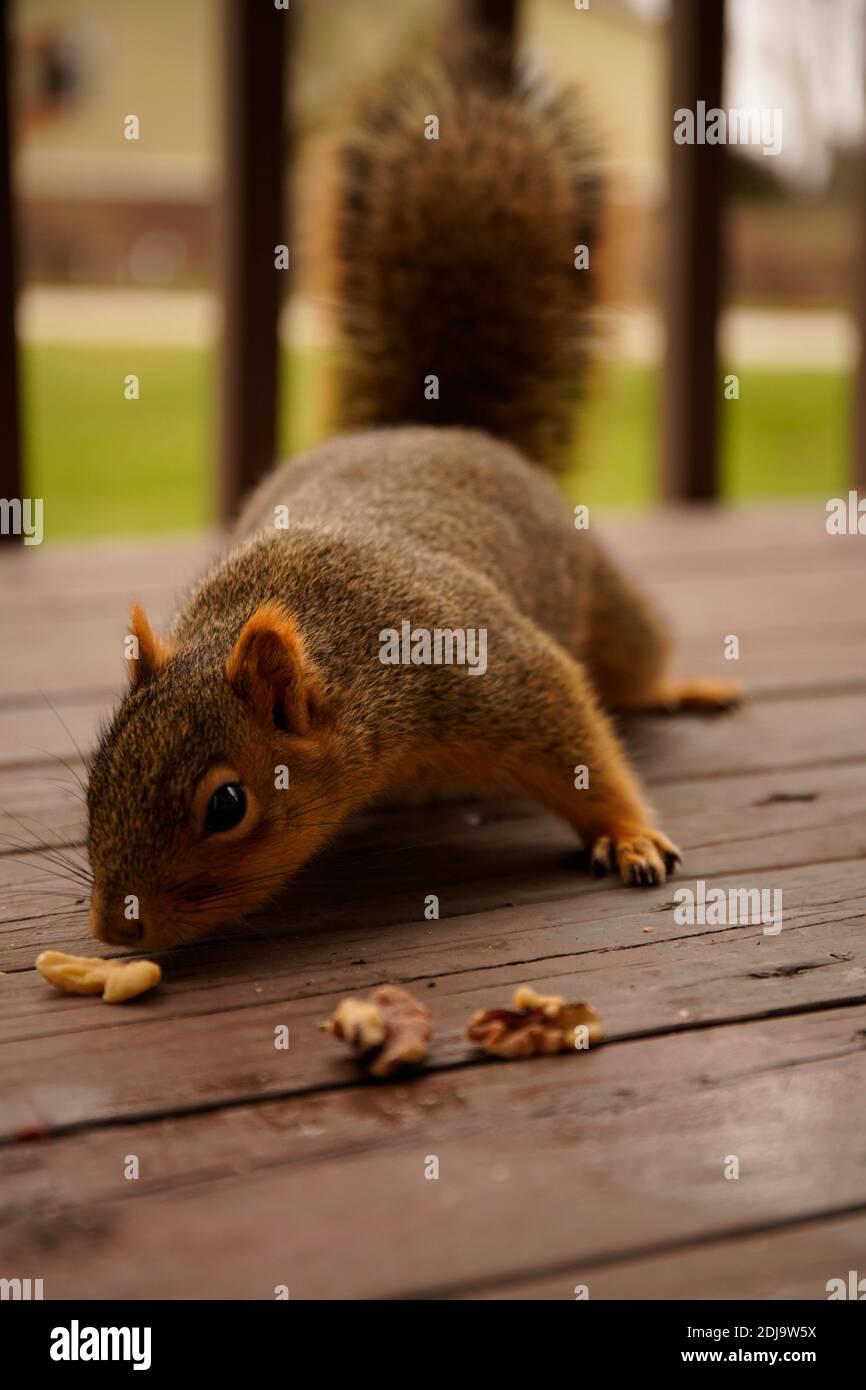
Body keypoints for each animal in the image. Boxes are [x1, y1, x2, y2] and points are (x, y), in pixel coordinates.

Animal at [87, 47, 740, 950]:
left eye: (227, 804)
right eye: (94, 774)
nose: (115, 930)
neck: (343, 654)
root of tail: (443, 426)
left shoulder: (482, 670)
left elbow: (579, 738)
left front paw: (628, 833)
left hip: (609, 603)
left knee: (632, 664)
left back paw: (679, 686)